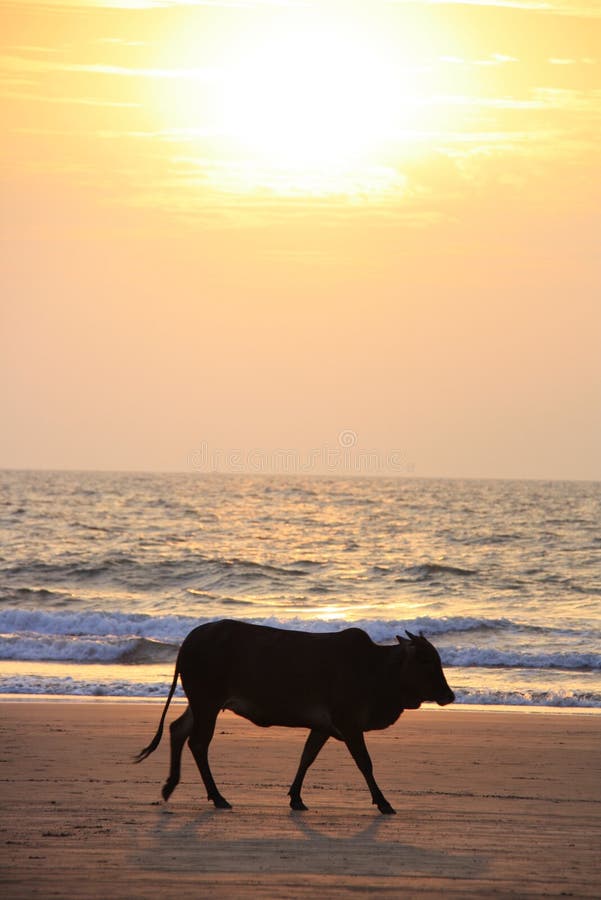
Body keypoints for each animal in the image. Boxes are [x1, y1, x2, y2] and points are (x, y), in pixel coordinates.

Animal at [135, 619, 454, 814]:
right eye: (426, 660)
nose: (449, 695)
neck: (377, 669)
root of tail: (191, 638)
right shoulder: (350, 724)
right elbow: (365, 764)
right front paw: (383, 802)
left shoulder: (324, 726)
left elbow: (307, 756)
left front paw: (296, 797)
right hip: (207, 704)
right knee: (198, 744)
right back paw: (218, 797)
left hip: (201, 704)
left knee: (177, 729)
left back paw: (171, 785)